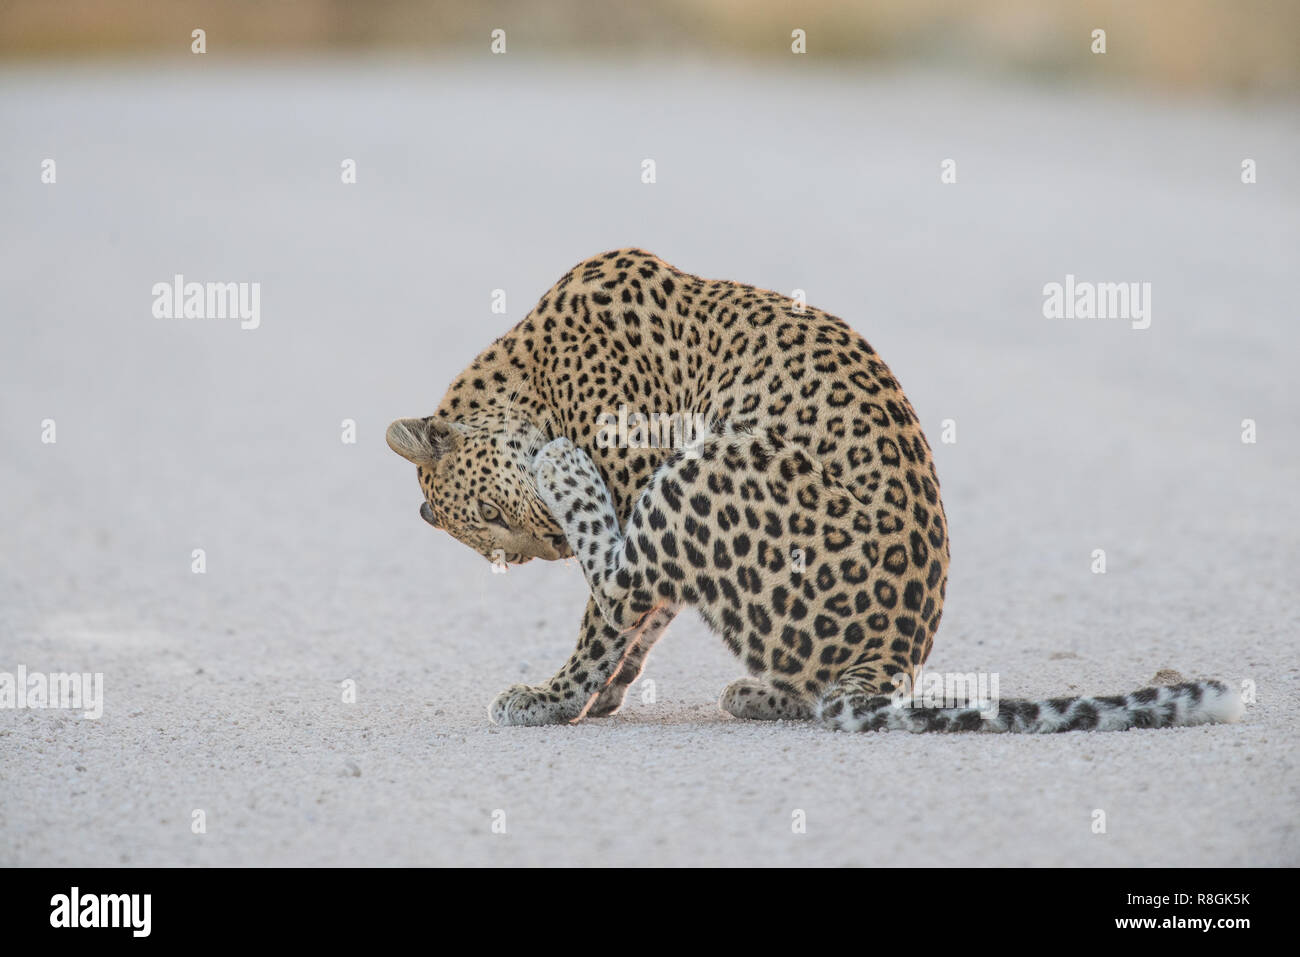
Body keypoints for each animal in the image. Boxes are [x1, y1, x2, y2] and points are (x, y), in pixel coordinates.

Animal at [386, 248, 1243, 733]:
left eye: (491, 515)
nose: (549, 547)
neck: (528, 368)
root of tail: (890, 661)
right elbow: (639, 623)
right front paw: (594, 699)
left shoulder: (633, 475)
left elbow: (609, 617)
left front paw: (554, 697)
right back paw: (761, 695)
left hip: (711, 454)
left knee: (623, 572)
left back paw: (563, 476)